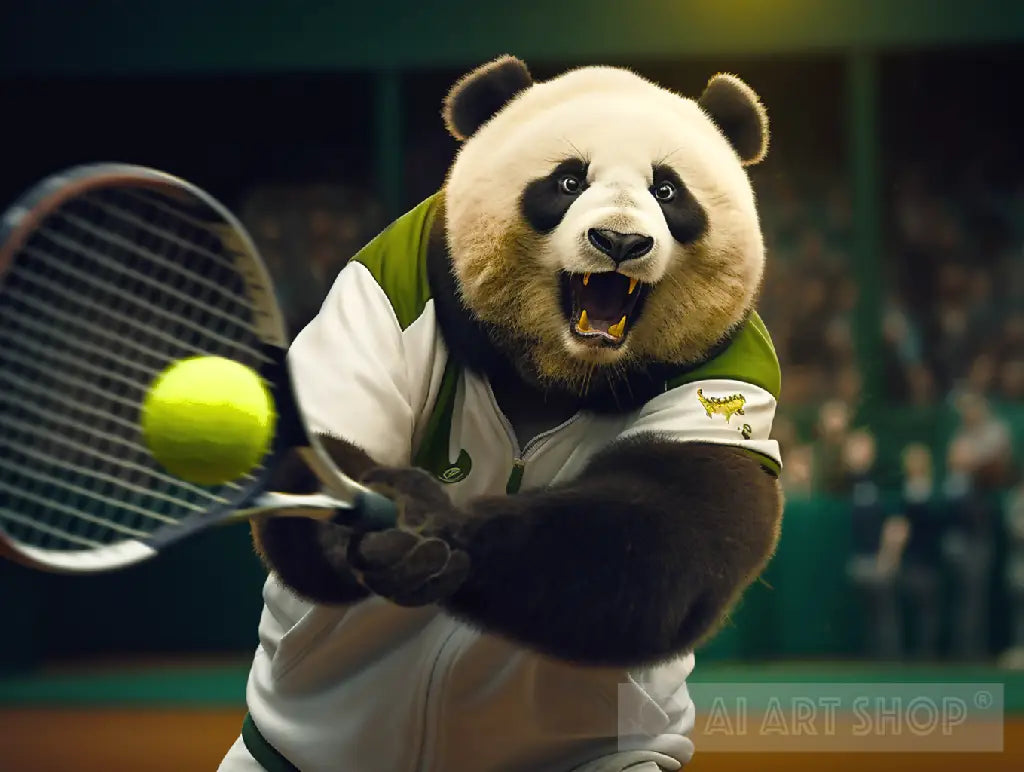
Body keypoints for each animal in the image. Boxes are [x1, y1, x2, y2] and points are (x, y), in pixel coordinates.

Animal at [219, 56, 782, 772]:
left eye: (668, 191)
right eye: (568, 181)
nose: (619, 240)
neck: (563, 372)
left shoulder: (722, 372)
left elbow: (672, 528)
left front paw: (454, 531)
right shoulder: (397, 291)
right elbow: (319, 456)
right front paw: (393, 519)